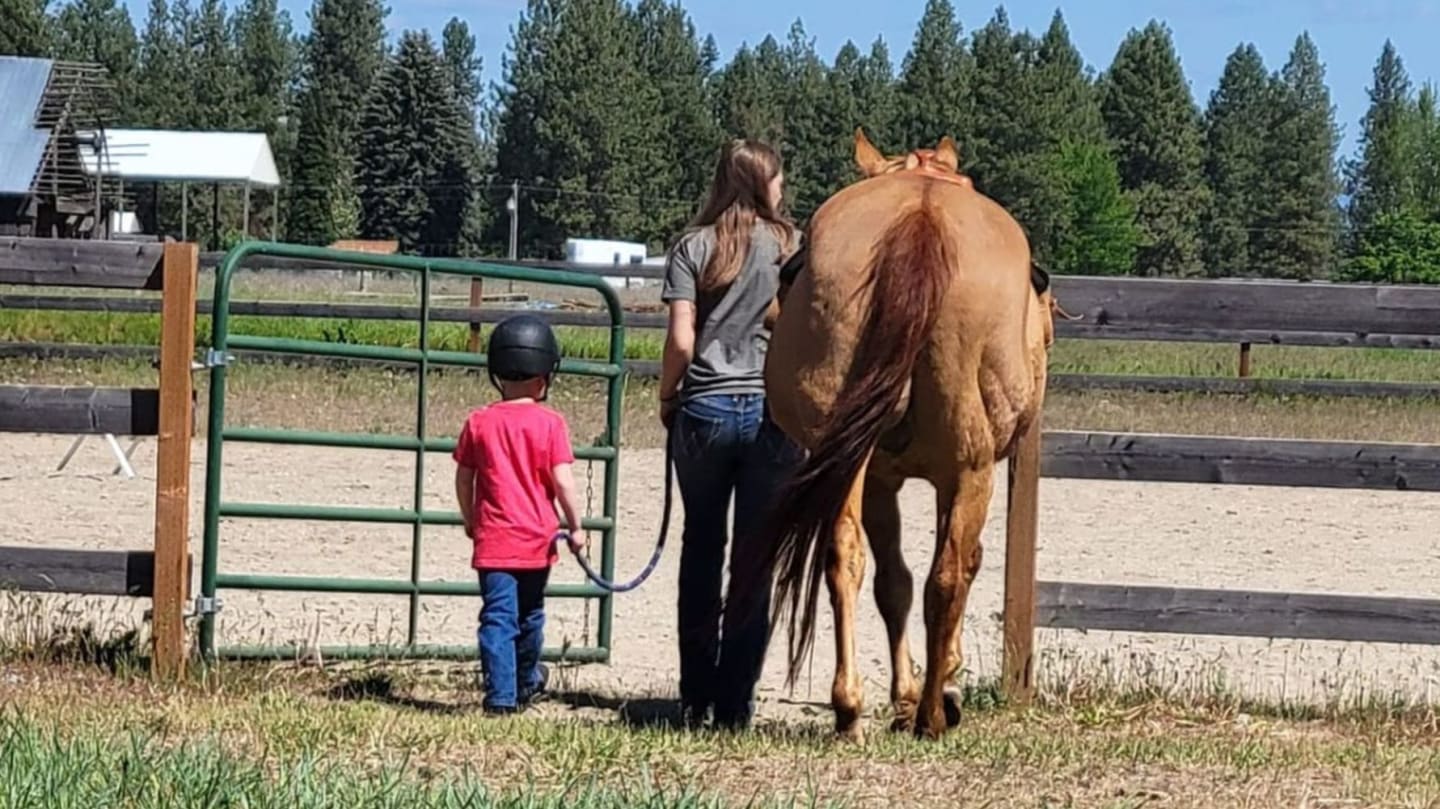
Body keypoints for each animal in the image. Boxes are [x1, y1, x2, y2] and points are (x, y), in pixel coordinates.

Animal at [742, 129, 1058, 741]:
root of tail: (919, 219)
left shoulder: (881, 480)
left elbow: (892, 582)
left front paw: (904, 694)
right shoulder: (954, 476)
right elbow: (954, 566)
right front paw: (934, 685)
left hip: (848, 461)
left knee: (844, 558)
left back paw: (849, 708)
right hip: (967, 465)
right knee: (948, 576)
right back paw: (933, 713)